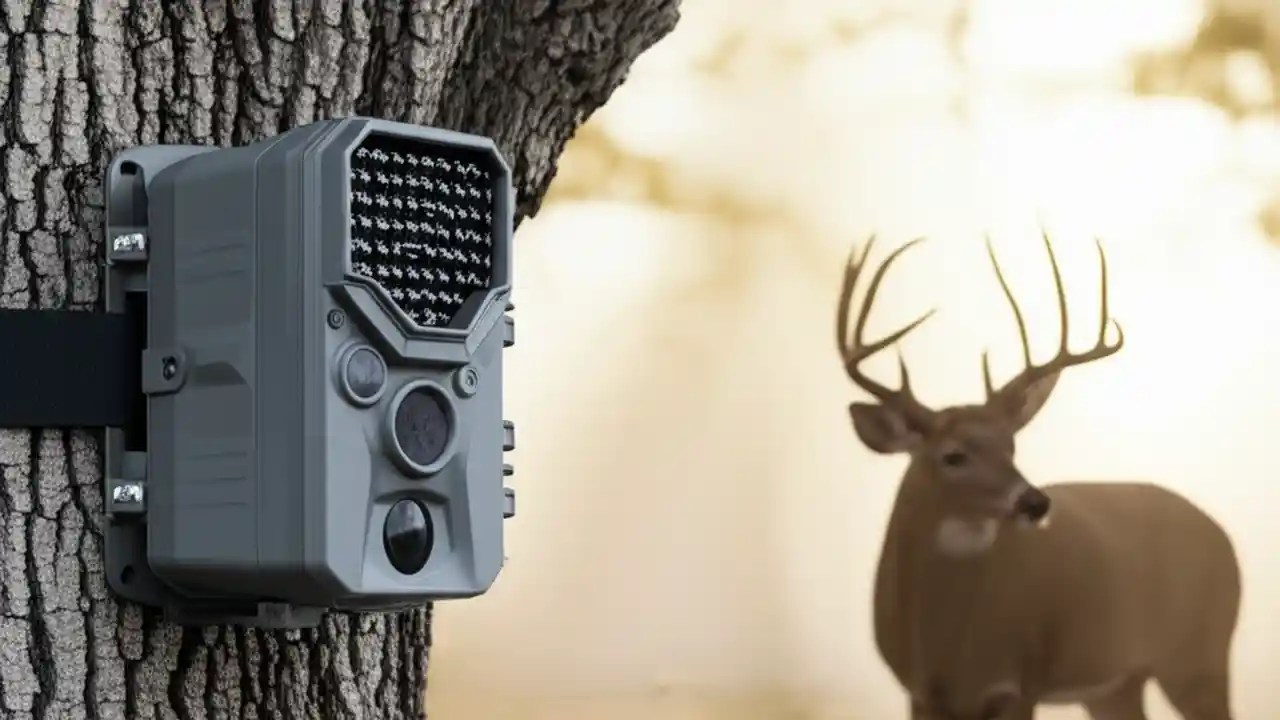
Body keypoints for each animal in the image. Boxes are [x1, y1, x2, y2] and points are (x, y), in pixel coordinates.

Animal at [837, 234, 1241, 720]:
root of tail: (1222, 536)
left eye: (1011, 445)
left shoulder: (1019, 684)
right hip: (1115, 683)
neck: (950, 653)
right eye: (952, 455)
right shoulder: (917, 692)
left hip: (1200, 654)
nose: (1034, 502)